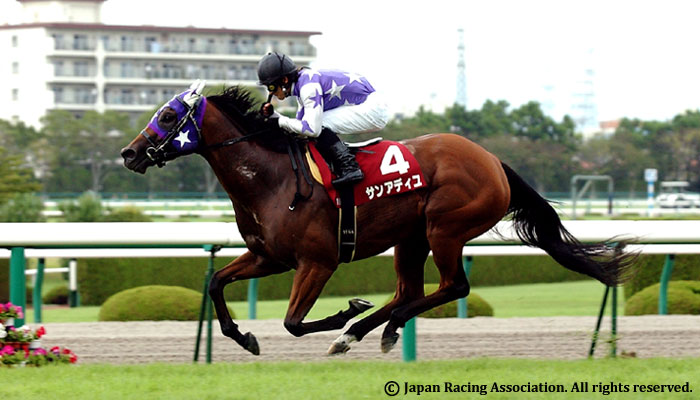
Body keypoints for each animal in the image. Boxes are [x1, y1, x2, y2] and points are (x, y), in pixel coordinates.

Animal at [121, 82, 636, 356]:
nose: (129, 154)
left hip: (445, 228)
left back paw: (375, 327)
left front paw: (343, 312)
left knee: (452, 287)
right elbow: (215, 284)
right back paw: (365, 331)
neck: (271, 179)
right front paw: (245, 337)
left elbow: (293, 322)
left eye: (167, 116)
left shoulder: (318, 261)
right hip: (410, 238)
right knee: (409, 291)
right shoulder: (269, 256)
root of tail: (492, 160)